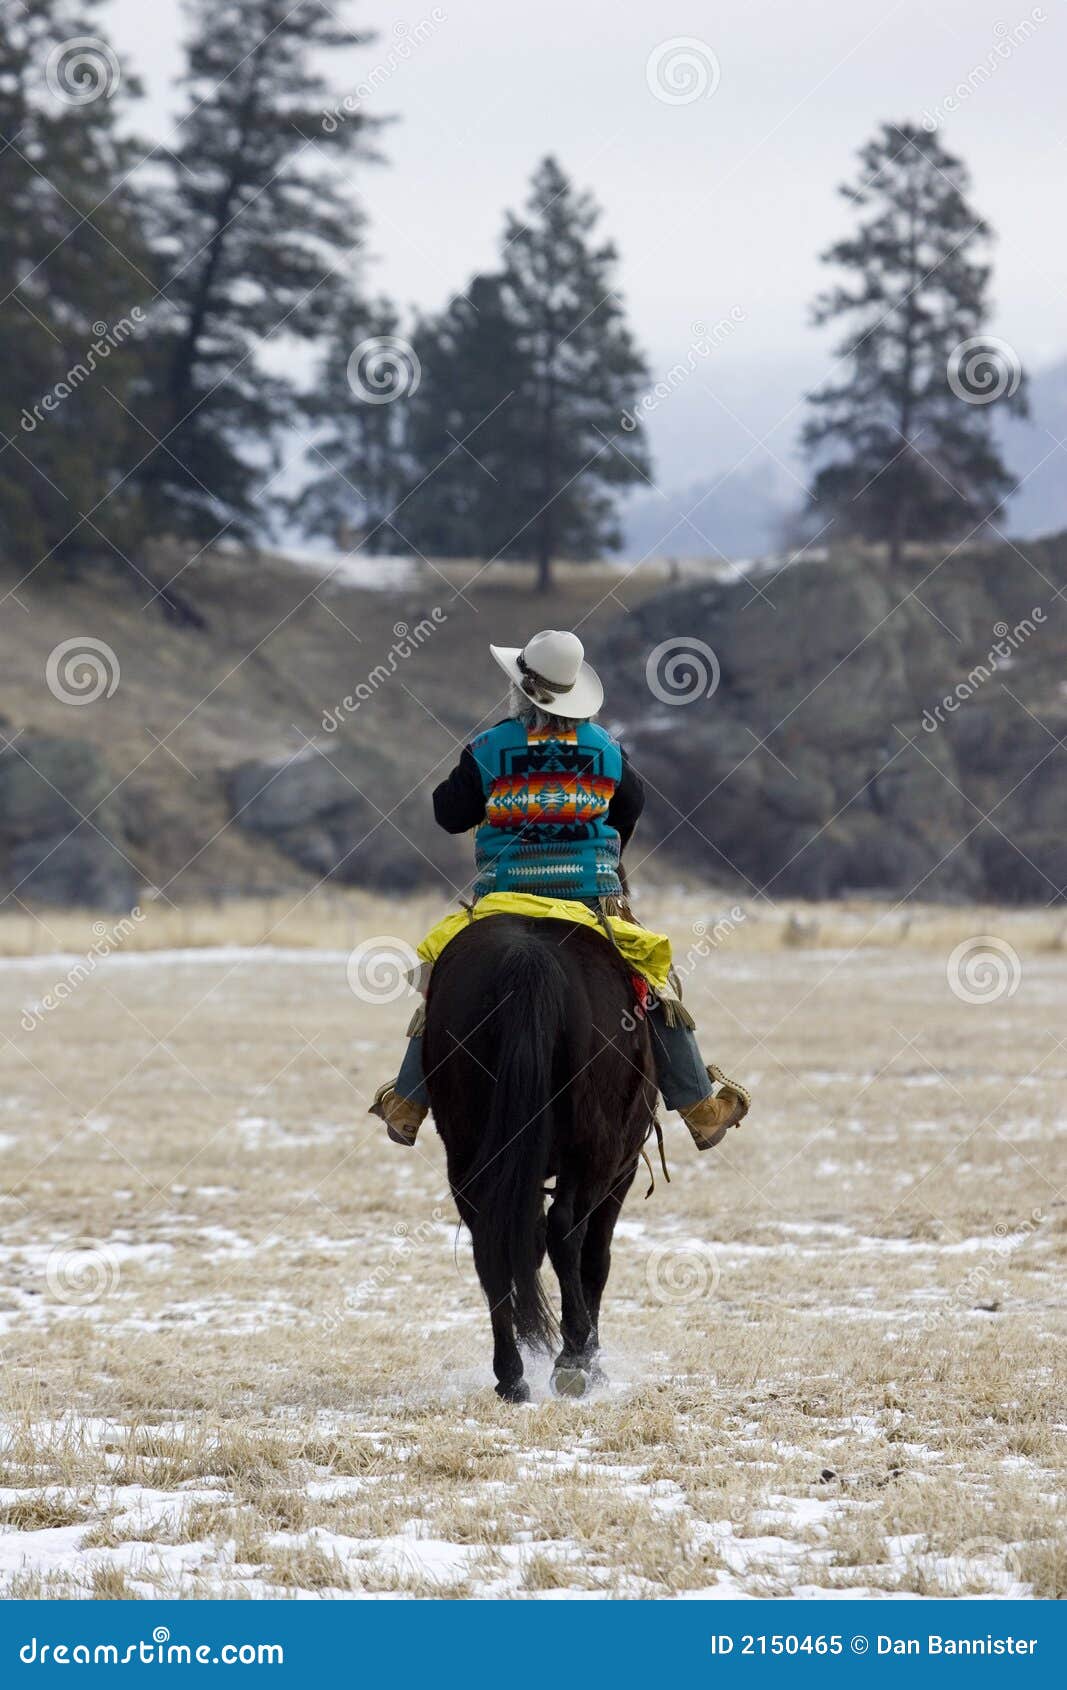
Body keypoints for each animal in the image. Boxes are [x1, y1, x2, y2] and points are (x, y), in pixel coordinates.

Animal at [423, 914, 657, 1401]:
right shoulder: (620, 1170)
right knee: (566, 1234)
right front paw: (590, 1359)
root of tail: (527, 960)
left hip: (467, 1154)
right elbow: (594, 1259)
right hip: (592, 1154)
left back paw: (511, 1375)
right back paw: (573, 1358)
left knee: (492, 1243)